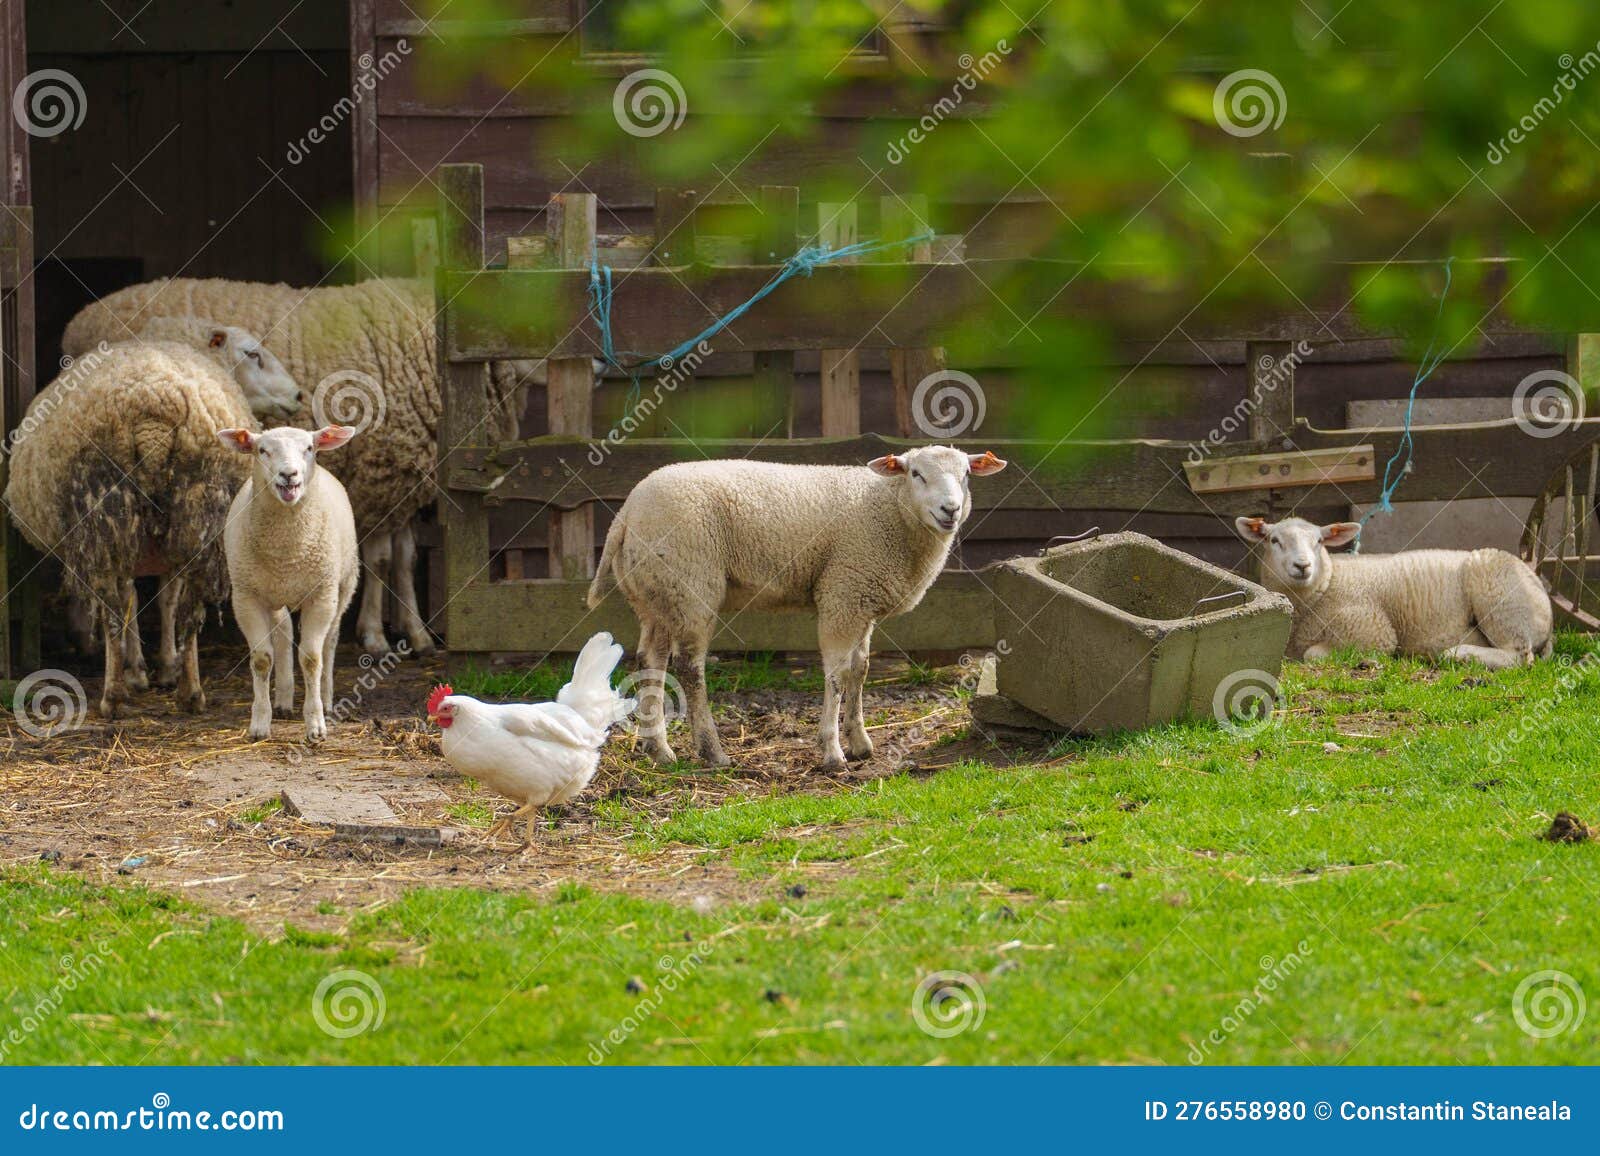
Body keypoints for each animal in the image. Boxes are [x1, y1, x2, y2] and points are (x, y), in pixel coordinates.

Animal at [3, 326, 286, 718]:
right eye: (252, 353)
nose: (297, 396)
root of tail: (154, 415)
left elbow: (133, 600)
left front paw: (138, 670)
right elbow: (162, 599)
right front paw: (161, 666)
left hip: (106, 514)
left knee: (111, 609)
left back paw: (114, 695)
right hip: (199, 511)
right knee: (189, 609)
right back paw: (190, 692)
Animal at [62, 276, 545, 658]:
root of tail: (78, 320)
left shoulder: (398, 480)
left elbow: (404, 557)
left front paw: (417, 634)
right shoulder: (377, 470)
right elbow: (380, 557)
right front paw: (375, 635)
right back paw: (90, 638)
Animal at [215, 424, 360, 744]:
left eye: (309, 448)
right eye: (262, 450)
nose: (289, 474)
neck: (286, 549)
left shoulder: (321, 595)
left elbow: (312, 658)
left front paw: (316, 724)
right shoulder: (246, 597)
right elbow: (261, 659)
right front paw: (259, 724)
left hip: (344, 585)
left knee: (330, 641)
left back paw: (327, 699)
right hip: (273, 591)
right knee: (283, 631)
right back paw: (282, 699)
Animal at [587, 445, 1009, 768]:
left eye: (967, 474)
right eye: (917, 474)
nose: (950, 509)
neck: (891, 511)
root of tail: (625, 513)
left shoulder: (862, 601)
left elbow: (860, 670)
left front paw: (860, 742)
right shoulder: (843, 593)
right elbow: (838, 676)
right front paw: (833, 752)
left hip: (656, 594)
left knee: (651, 660)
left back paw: (658, 749)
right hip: (691, 584)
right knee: (689, 668)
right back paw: (713, 752)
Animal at [1235, 516, 1553, 669]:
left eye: (1319, 541)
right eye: (1274, 540)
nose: (1303, 566)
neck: (1326, 586)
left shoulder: (1373, 632)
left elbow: (1313, 654)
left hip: (1499, 597)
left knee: (1519, 656)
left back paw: (1459, 654)